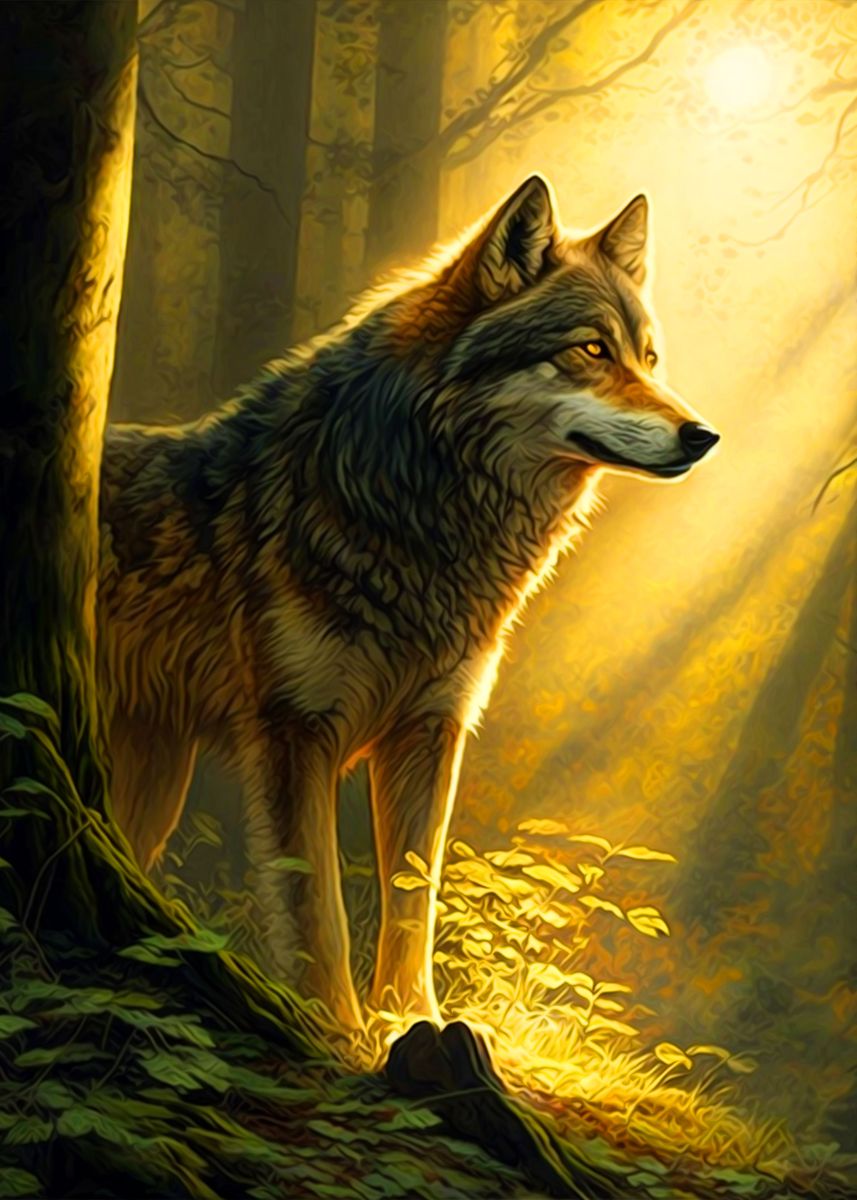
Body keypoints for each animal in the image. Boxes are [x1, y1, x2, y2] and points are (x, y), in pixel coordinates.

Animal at [99, 176, 719, 1030]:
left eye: (648, 358)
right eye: (591, 350)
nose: (702, 435)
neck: (410, 510)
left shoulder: (430, 732)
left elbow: (412, 899)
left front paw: (412, 1022)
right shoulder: (295, 734)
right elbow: (317, 910)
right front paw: (337, 1034)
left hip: (156, 775)